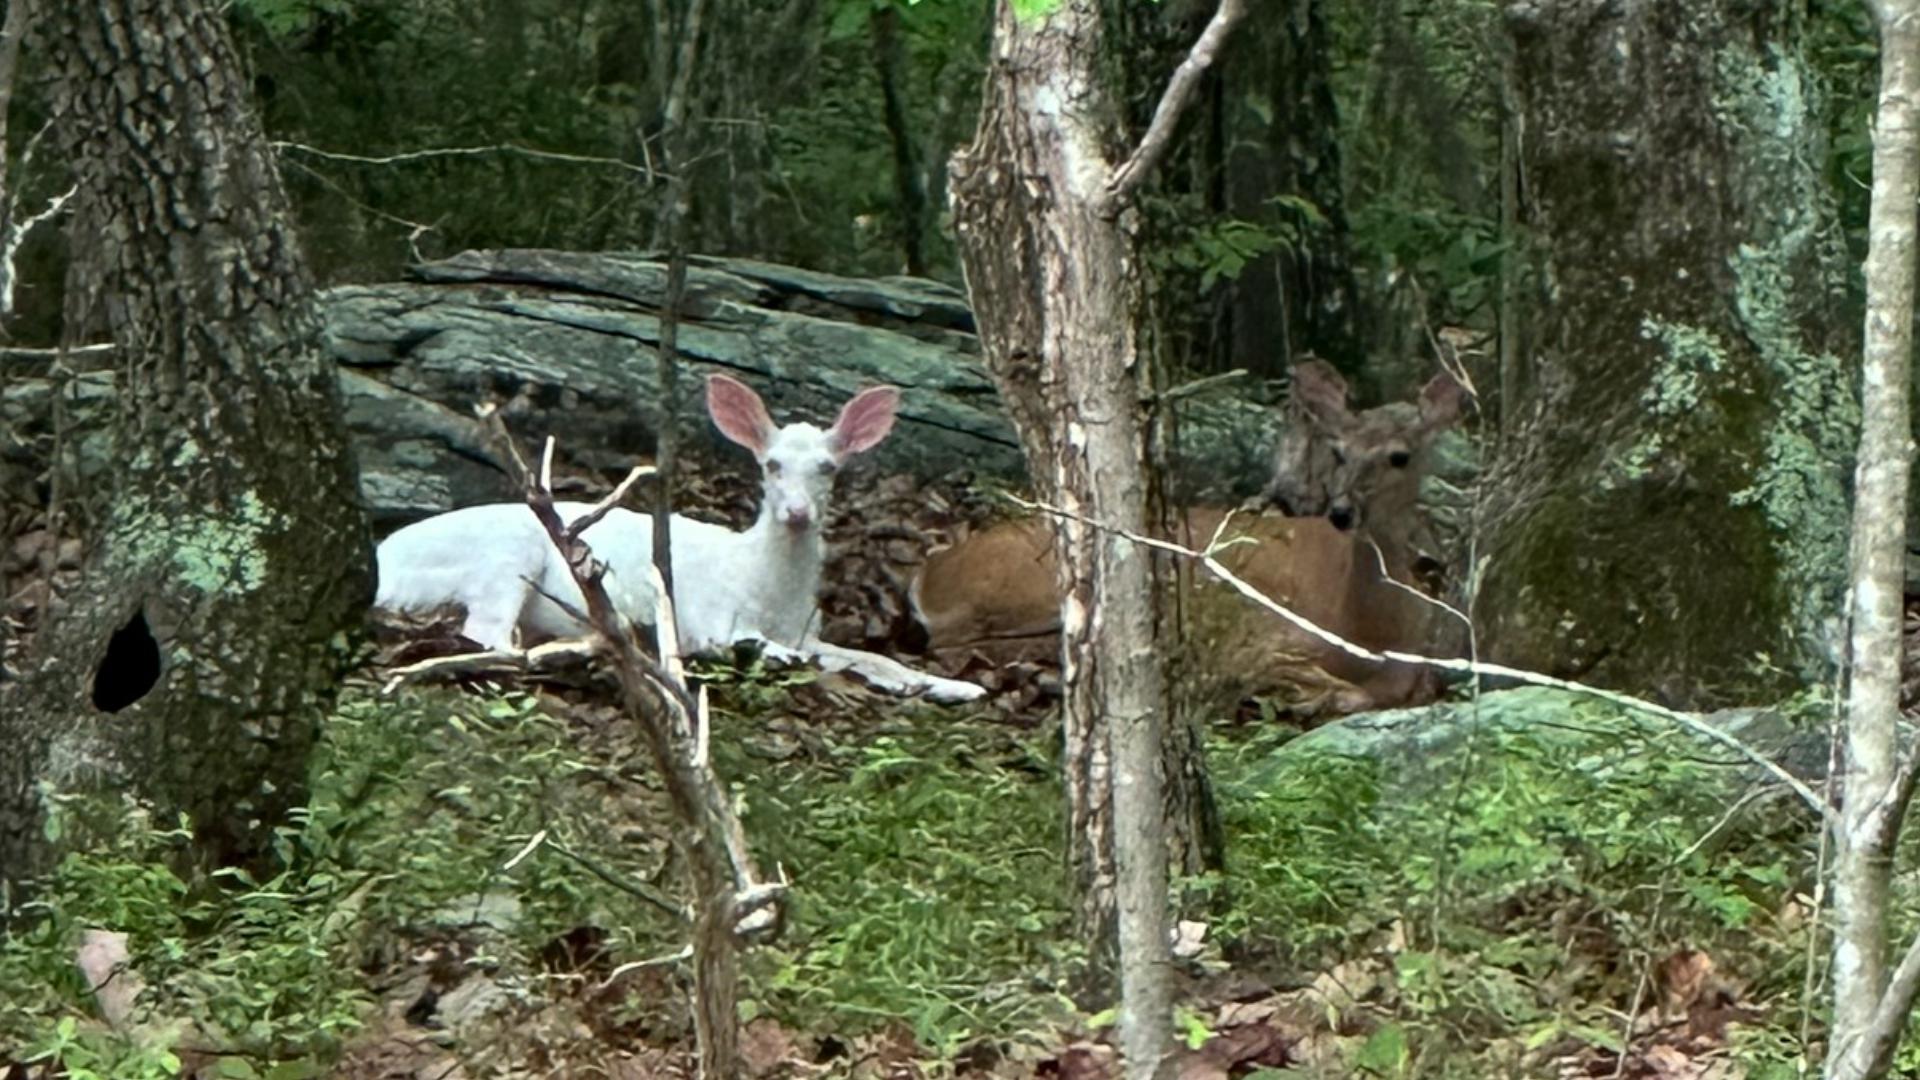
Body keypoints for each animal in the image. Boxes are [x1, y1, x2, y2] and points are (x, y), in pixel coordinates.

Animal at [374, 374, 988, 704]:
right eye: (770, 465)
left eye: (829, 468)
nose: (795, 512)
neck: (765, 589)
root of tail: (380, 565)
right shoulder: (704, 615)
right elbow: (757, 648)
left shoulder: (807, 630)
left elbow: (872, 659)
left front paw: (955, 687)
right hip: (501, 558)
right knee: (487, 633)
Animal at [908, 359, 1467, 714]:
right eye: (1339, 451)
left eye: (1400, 455)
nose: (1342, 511)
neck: (1368, 634)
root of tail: (926, 575)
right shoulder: (1267, 634)